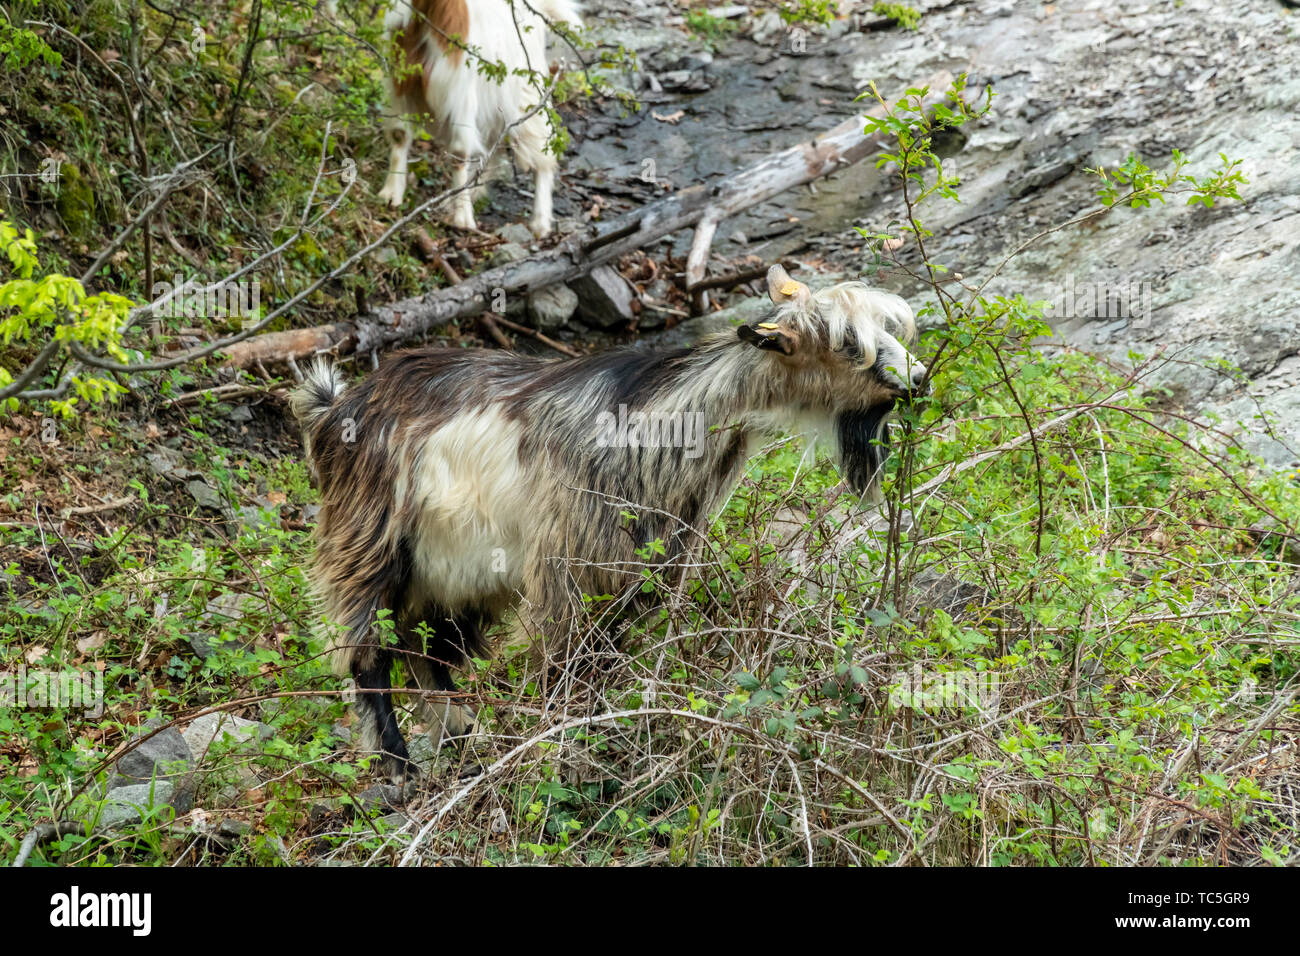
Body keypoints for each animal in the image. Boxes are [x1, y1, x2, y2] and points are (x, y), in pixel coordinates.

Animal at [291, 265, 928, 782]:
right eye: (847, 344)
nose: (917, 377)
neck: (659, 424)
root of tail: (336, 408)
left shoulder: (638, 573)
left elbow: (605, 663)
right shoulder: (567, 570)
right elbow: (567, 668)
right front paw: (565, 755)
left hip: (449, 574)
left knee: (427, 649)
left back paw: (462, 736)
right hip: (366, 539)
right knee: (368, 649)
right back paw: (399, 766)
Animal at [376, 0, 582, 237]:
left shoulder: (460, 95)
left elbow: (459, 154)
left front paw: (462, 218)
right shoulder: (401, 83)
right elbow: (399, 134)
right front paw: (390, 194)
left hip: (527, 95)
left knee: (541, 151)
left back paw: (540, 223)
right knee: (493, 146)